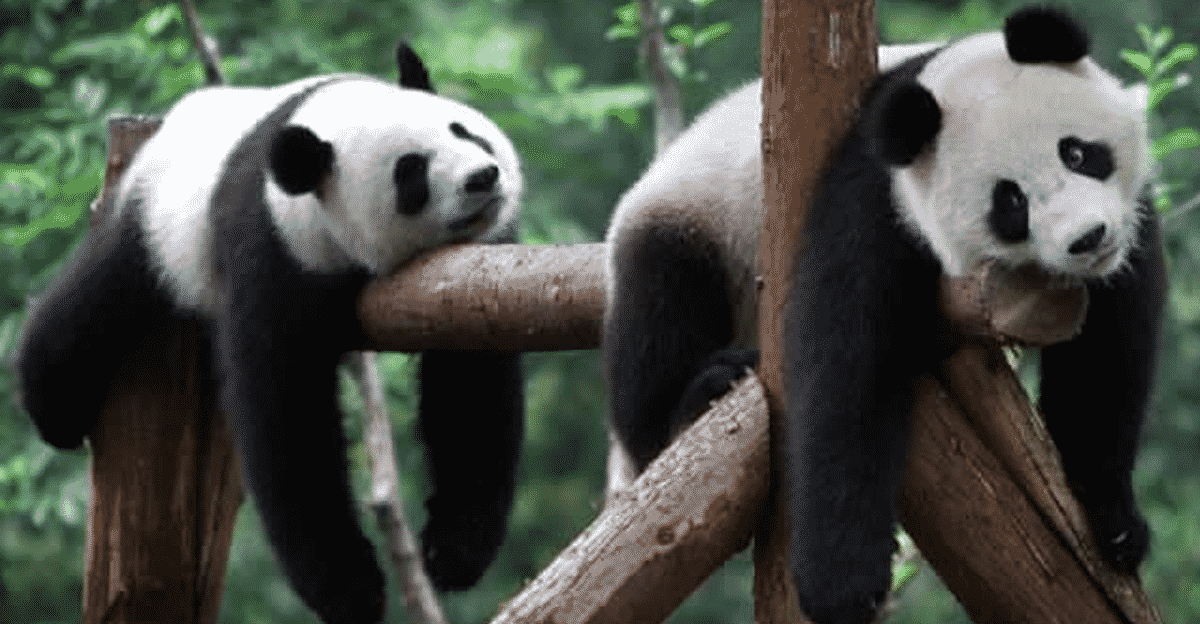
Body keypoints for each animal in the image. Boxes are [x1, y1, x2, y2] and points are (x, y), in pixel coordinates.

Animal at [14, 44, 524, 624]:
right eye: (411, 172)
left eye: (464, 132)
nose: (483, 177)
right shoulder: (273, 250)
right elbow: (286, 409)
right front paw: (351, 590)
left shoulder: (468, 274)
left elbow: (470, 390)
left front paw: (454, 553)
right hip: (156, 223)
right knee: (87, 307)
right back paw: (54, 414)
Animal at [603, 7, 1164, 624]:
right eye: (1011, 202)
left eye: (1078, 153)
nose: (1089, 239)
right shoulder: (872, 202)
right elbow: (845, 370)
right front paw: (842, 585)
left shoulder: (1126, 235)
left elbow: (1109, 351)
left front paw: (1114, 523)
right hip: (692, 219)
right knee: (658, 316)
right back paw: (699, 395)